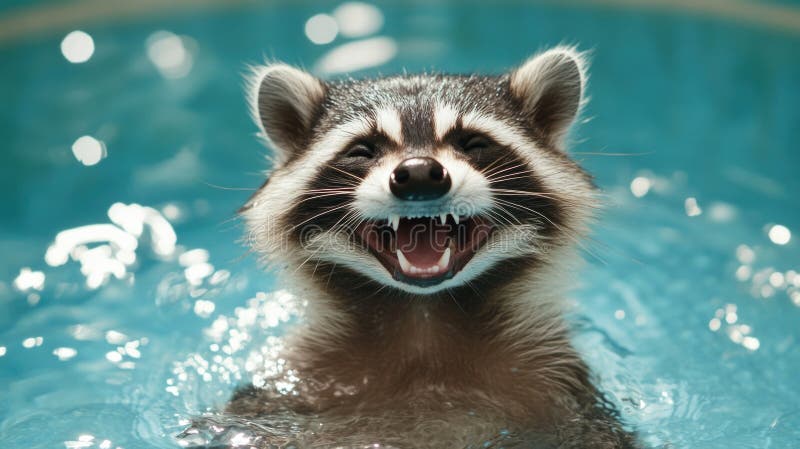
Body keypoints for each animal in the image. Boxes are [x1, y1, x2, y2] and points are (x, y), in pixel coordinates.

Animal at [229, 46, 638, 448]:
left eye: (472, 142)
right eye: (363, 150)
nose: (419, 173)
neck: (423, 316)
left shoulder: (558, 379)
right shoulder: (295, 378)